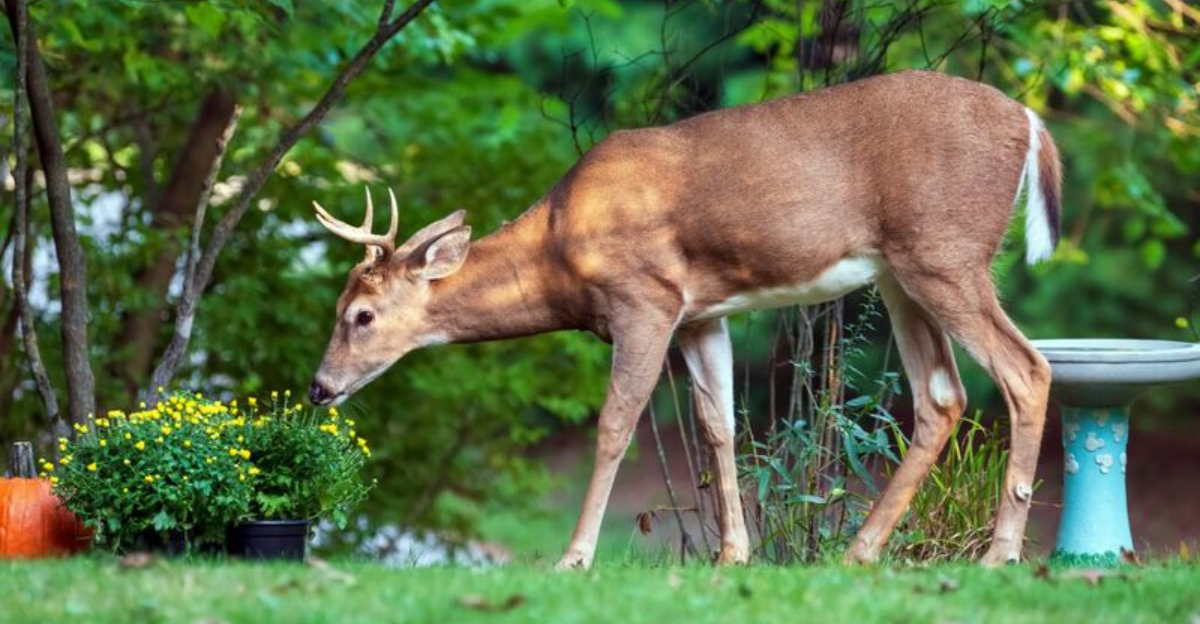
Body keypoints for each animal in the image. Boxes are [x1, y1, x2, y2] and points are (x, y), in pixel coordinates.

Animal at [307, 70, 1061, 570]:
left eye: (362, 315)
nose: (319, 387)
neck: (560, 249)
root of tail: (1030, 122)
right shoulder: (701, 315)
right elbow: (717, 425)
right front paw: (732, 556)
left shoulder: (644, 298)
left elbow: (616, 424)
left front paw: (574, 558)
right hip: (902, 273)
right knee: (942, 396)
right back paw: (859, 552)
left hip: (945, 253)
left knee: (1026, 369)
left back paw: (998, 556)